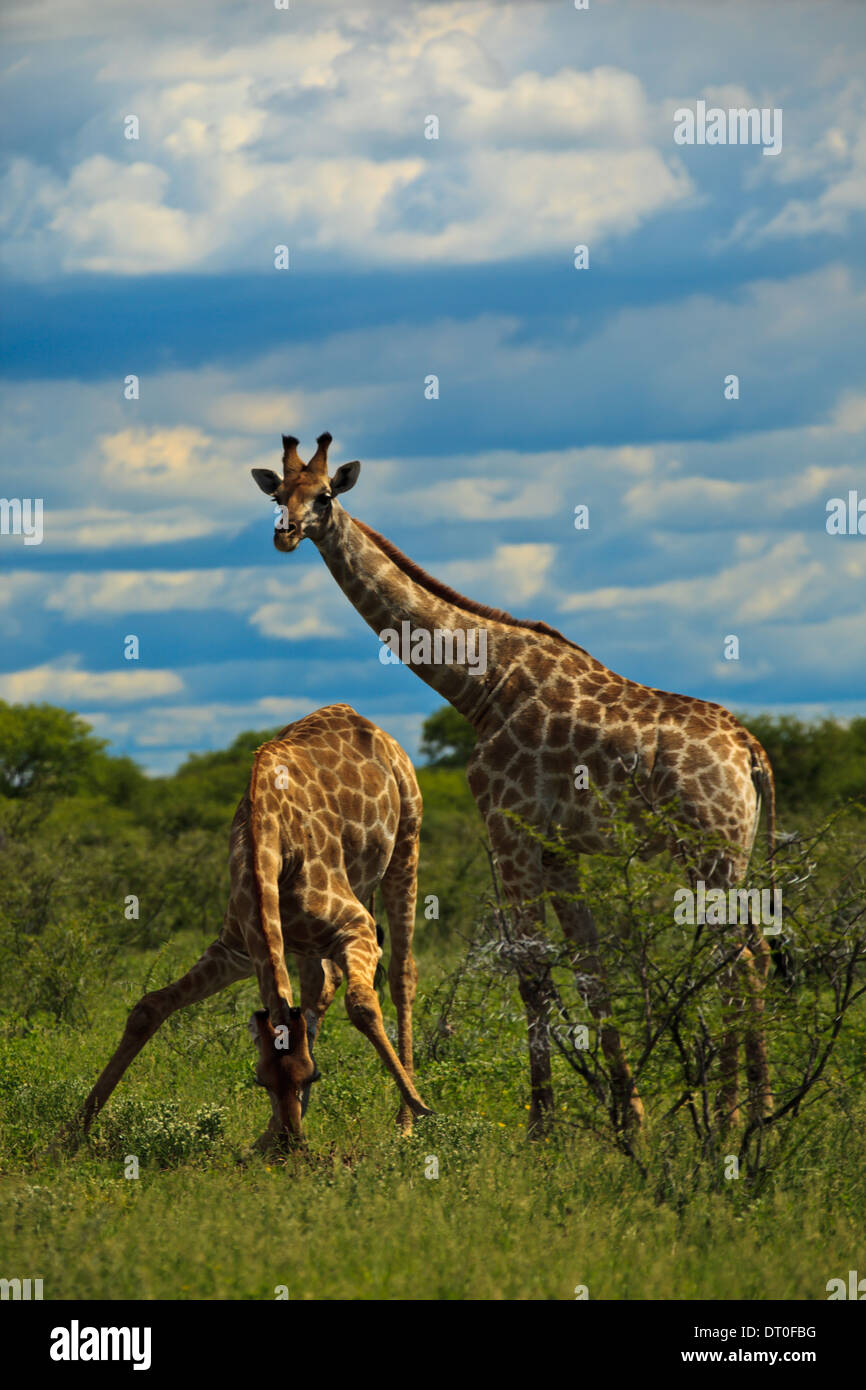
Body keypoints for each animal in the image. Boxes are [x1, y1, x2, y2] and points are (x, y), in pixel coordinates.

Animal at [69, 705, 430, 1150]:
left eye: (315, 1075)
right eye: (260, 1081)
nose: (289, 1146)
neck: (269, 848)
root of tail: (364, 720)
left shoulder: (355, 926)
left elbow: (362, 1005)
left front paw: (418, 1107)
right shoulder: (235, 949)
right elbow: (149, 1006)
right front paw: (69, 1135)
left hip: (407, 841)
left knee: (401, 973)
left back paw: (405, 1122)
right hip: (311, 938)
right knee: (321, 986)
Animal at [252, 433, 777, 1136]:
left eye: (326, 495)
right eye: (279, 494)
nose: (284, 533)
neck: (480, 681)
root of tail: (750, 751)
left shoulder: (509, 827)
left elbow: (530, 969)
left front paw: (541, 1121)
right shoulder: (556, 849)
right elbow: (589, 971)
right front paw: (628, 1114)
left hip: (710, 852)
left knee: (737, 964)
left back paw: (737, 1115)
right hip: (727, 855)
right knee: (752, 957)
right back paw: (751, 1110)